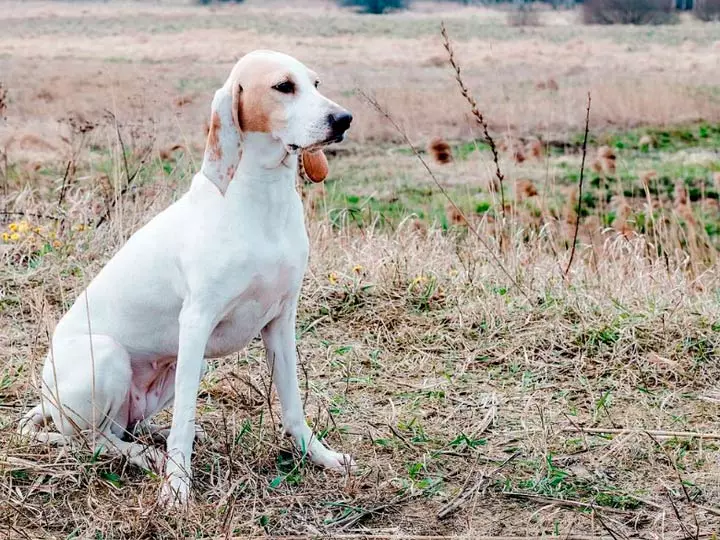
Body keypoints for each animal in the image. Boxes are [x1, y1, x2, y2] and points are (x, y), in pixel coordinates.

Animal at [23, 49, 358, 506]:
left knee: (124, 427)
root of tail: (46, 401)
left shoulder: (280, 322)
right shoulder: (196, 322)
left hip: (184, 367)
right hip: (107, 356)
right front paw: (177, 488)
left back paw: (152, 440)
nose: (343, 119)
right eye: (283, 86)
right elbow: (184, 418)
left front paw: (320, 456)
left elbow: (293, 406)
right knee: (92, 441)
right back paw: (147, 456)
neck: (262, 198)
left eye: (317, 83)